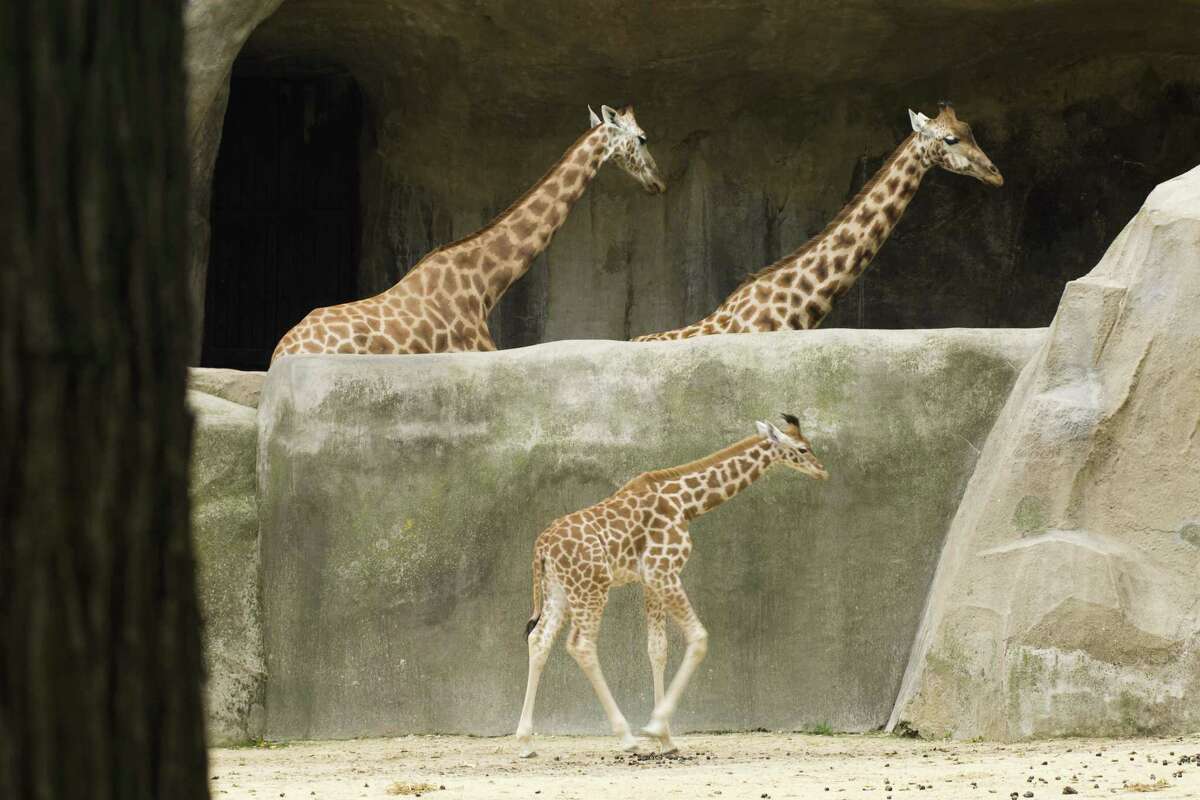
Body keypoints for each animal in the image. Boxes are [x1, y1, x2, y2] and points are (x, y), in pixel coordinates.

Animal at [514, 415, 828, 758]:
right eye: (802, 448)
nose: (822, 471)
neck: (686, 503)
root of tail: (541, 547)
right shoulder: (664, 571)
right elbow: (698, 637)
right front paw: (654, 727)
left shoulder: (650, 580)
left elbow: (657, 649)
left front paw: (665, 738)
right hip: (591, 588)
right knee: (581, 645)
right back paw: (626, 737)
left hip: (559, 591)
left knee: (539, 640)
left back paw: (526, 742)